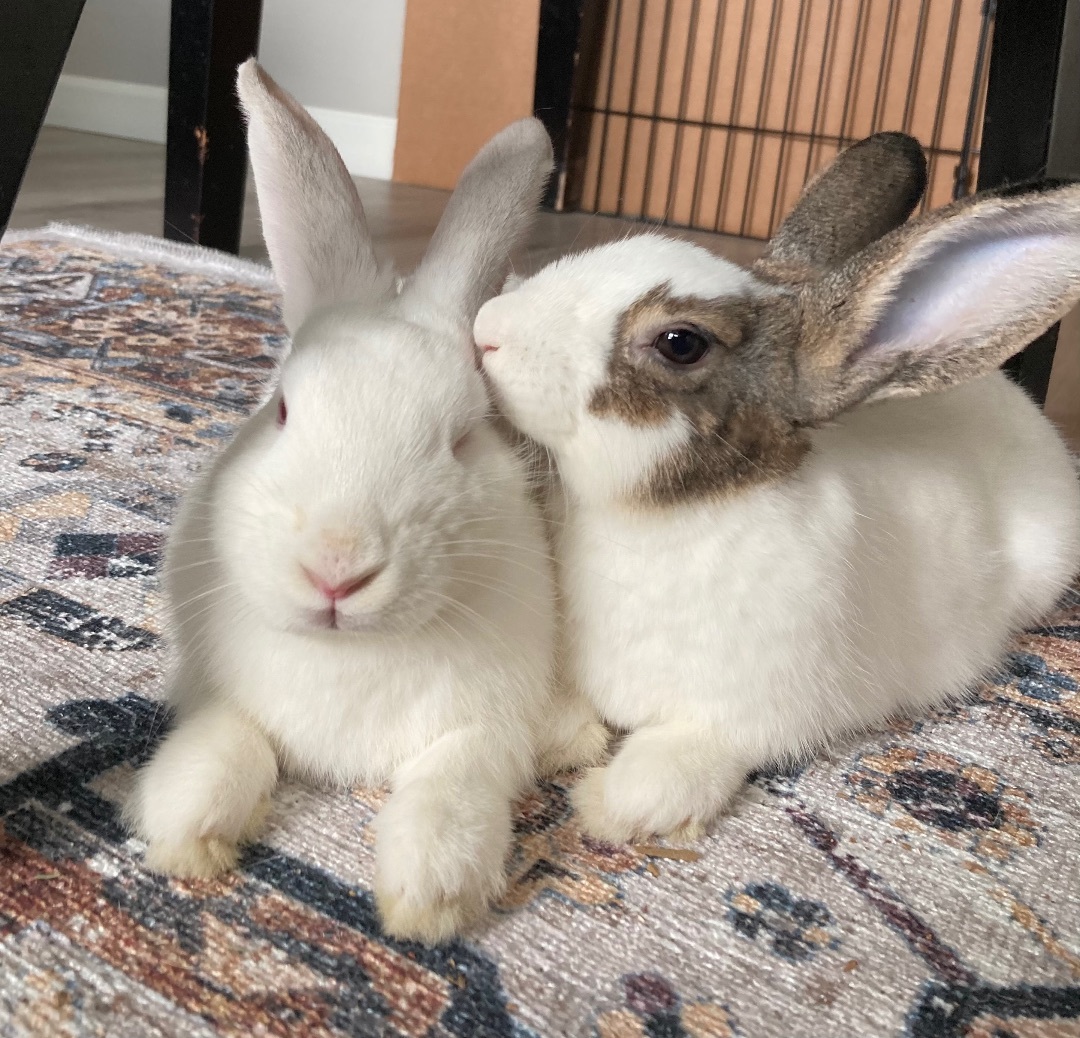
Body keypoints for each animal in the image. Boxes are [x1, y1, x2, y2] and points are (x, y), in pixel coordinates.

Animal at [125, 60, 604, 944]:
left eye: (462, 438)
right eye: (282, 409)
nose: (337, 570)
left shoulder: (481, 726)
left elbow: (451, 792)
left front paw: (428, 902)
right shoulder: (224, 691)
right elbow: (229, 744)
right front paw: (185, 837)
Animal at [472, 130, 1080, 845]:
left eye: (680, 342)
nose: (486, 328)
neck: (667, 514)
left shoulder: (739, 721)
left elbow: (662, 776)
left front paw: (600, 806)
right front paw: (562, 742)